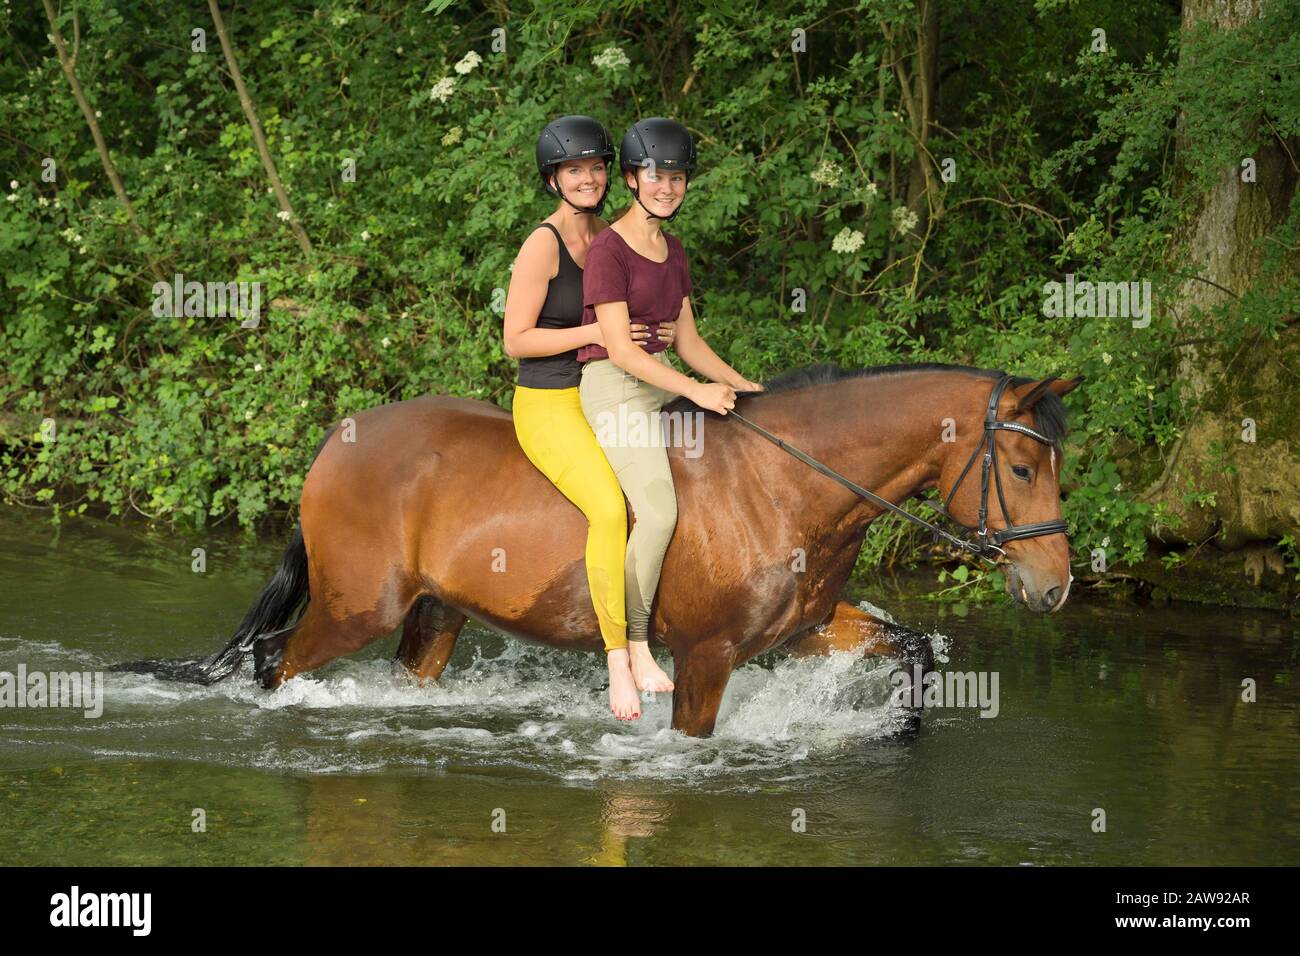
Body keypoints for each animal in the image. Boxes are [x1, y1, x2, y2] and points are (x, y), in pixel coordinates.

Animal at [120, 363, 1082, 737]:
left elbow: (913, 646)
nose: (1055, 588)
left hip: (434, 618)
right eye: (1022, 466)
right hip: (358, 606)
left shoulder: (803, 628)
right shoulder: (707, 654)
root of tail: (336, 441)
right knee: (276, 659)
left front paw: (901, 731)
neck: (786, 482)